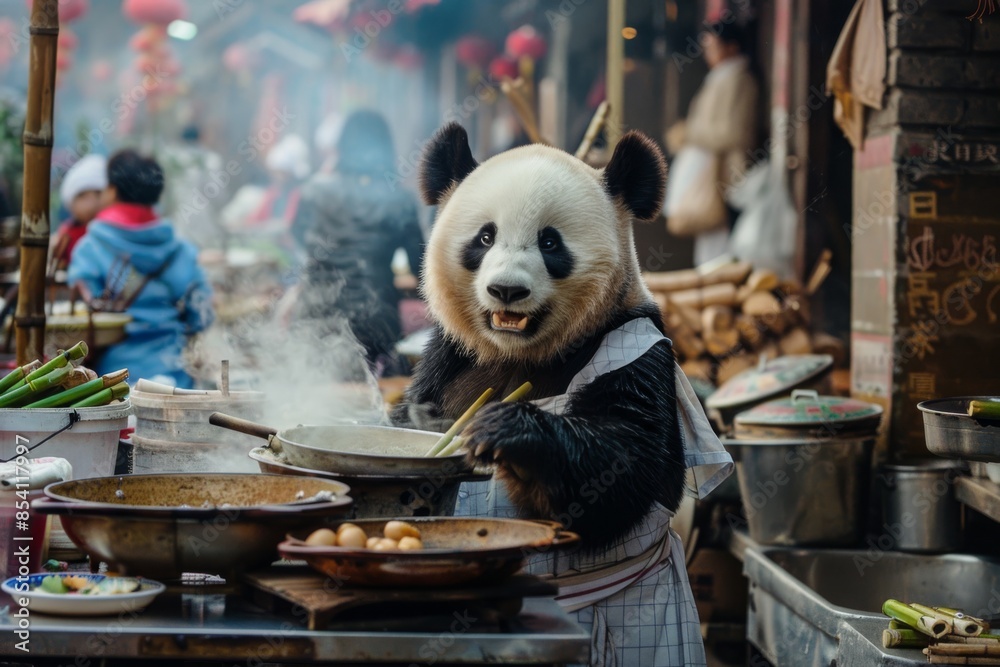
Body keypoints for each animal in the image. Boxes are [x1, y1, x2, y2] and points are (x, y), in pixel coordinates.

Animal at [393, 123, 731, 666]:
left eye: (550, 242)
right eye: (485, 236)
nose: (507, 291)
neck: (522, 352)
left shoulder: (634, 350)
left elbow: (622, 465)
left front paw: (503, 429)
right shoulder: (447, 358)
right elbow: (413, 416)